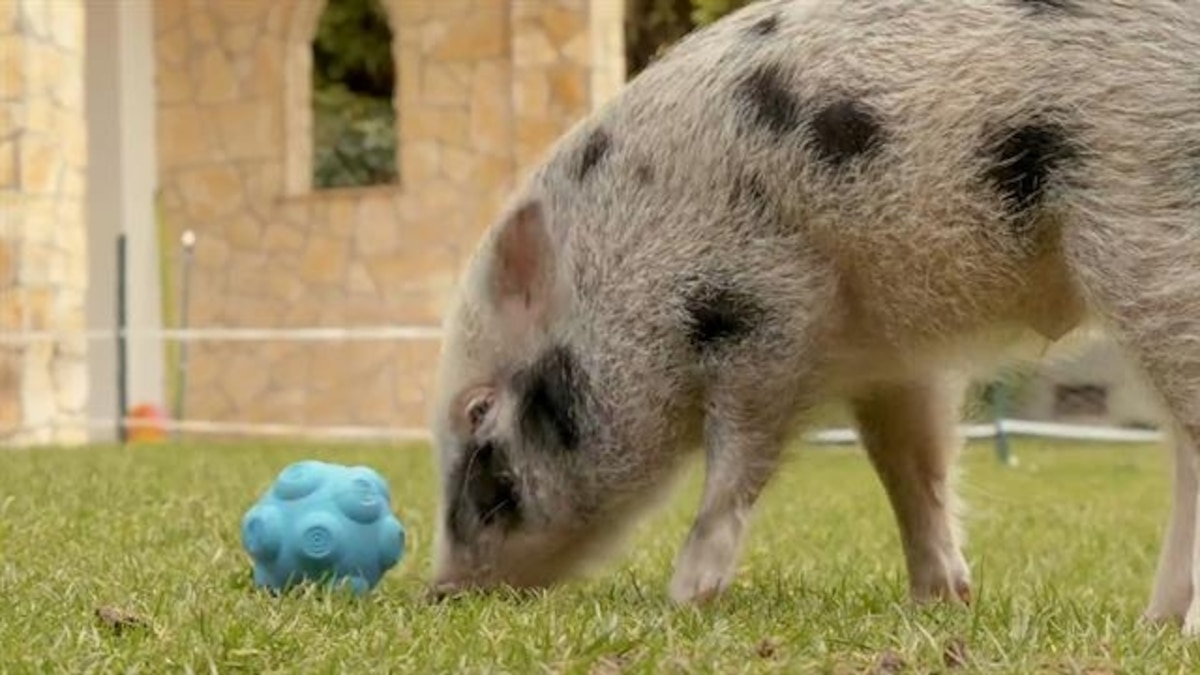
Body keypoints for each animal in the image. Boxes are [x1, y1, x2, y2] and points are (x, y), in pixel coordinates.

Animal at [427, 0, 1200, 632]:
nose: (437, 591)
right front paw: (940, 601)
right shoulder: (888, 352)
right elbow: (910, 463)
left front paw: (683, 599)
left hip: (1146, 243)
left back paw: (1166, 626)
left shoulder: (768, 309)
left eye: (478, 409)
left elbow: (739, 457)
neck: (626, 268)